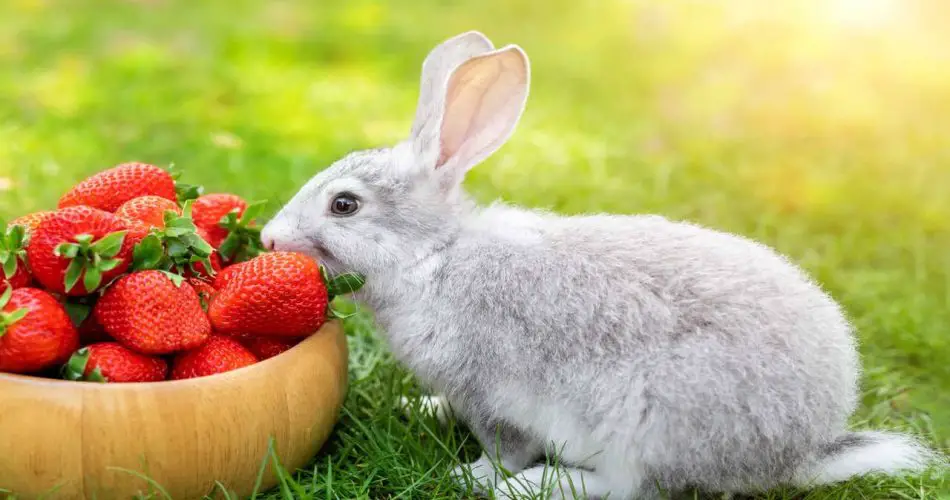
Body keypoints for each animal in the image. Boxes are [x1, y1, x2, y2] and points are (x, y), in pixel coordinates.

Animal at [260, 31, 940, 499]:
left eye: (344, 205)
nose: (268, 239)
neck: (435, 256)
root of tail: (796, 452)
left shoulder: (492, 391)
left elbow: (504, 446)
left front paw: (473, 475)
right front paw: (423, 409)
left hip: (647, 427)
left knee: (631, 489)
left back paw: (531, 488)